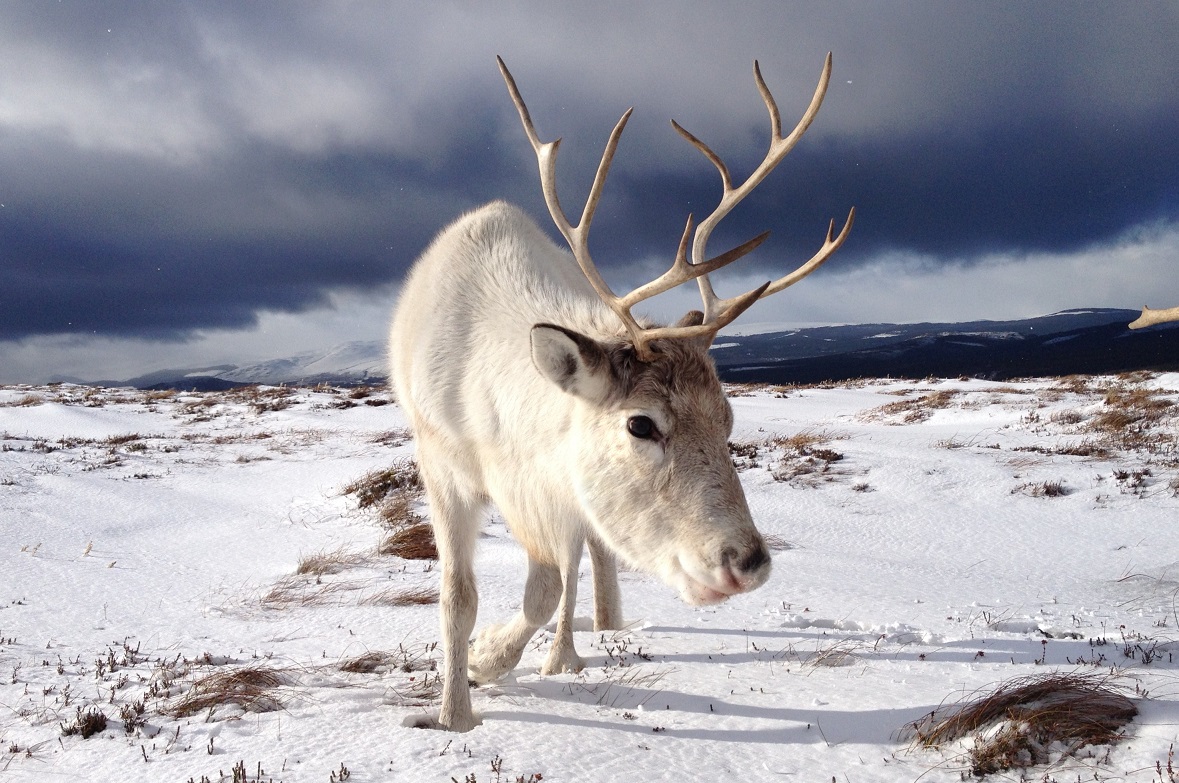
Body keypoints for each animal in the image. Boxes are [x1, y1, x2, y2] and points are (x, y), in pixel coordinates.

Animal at [388, 54, 854, 732]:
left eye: (728, 417)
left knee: (585, 564)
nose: (748, 562)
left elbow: (550, 584)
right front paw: (454, 711)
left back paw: (584, 641)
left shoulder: (556, 486)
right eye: (641, 424)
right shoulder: (445, 464)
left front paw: (490, 659)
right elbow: (458, 595)